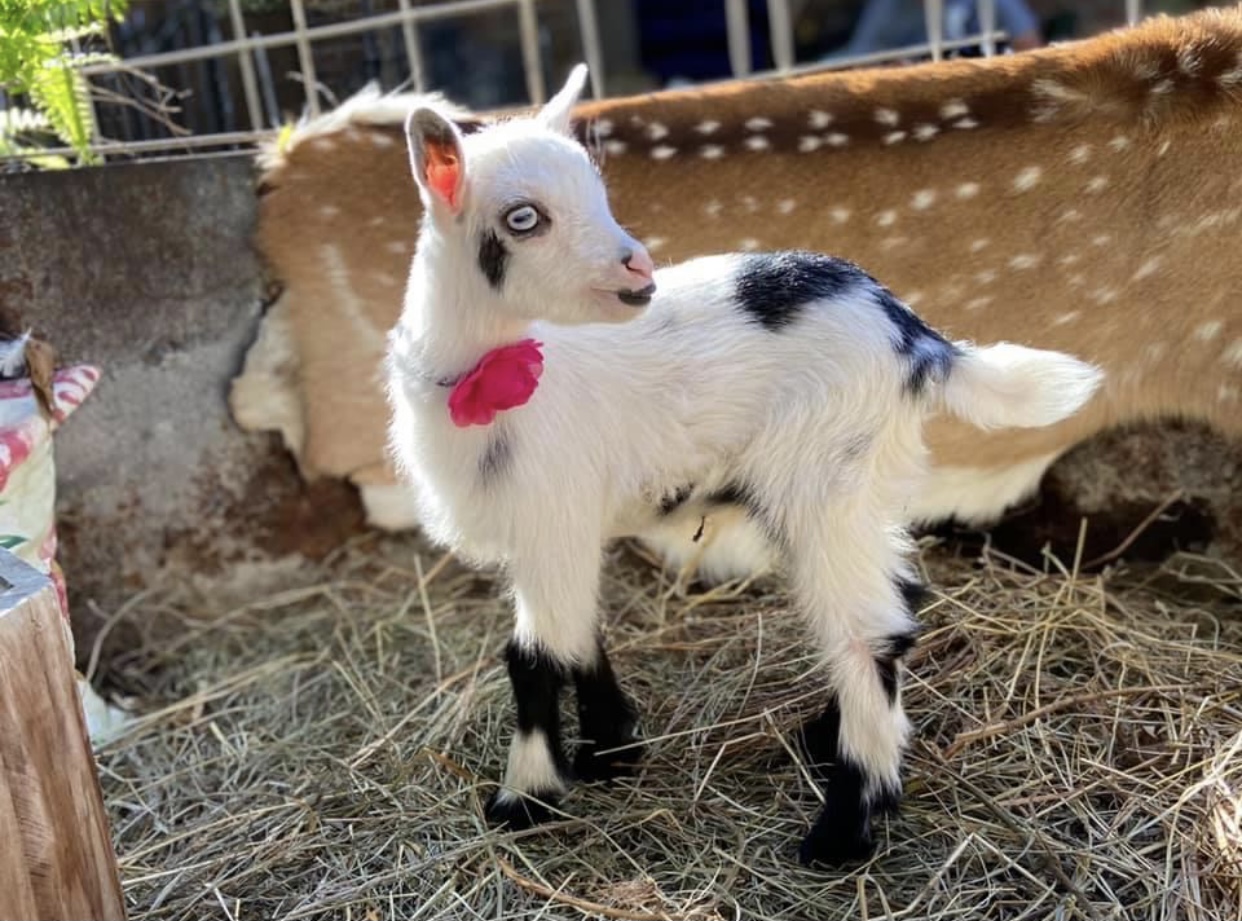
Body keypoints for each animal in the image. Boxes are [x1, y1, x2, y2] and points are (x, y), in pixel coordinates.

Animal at [384, 64, 1103, 866]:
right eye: (522, 218)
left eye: (599, 192)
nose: (638, 264)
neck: (493, 379)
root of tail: (916, 335)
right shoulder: (556, 529)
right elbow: (580, 637)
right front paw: (611, 750)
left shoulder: (551, 515)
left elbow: (535, 658)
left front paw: (524, 800)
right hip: (865, 474)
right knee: (900, 599)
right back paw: (826, 738)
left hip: (821, 476)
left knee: (868, 634)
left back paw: (843, 829)